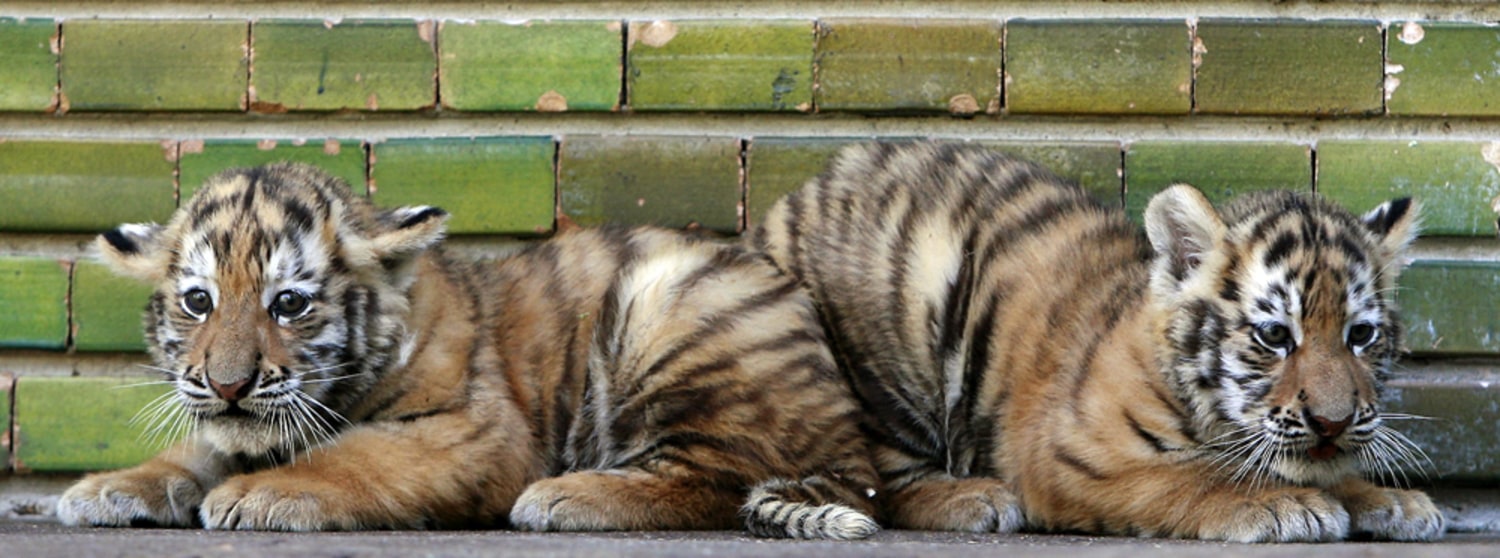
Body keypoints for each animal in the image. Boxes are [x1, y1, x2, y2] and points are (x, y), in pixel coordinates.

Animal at [56, 162, 879, 539]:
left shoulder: (472, 429)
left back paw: (567, 496)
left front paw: (260, 493)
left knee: (720, 476)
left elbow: (356, 455)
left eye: (288, 304)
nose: (229, 386)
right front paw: (109, 486)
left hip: (666, 306)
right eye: (199, 301)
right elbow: (194, 450)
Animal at [747, 141, 1445, 542]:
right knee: (880, 481)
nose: (1333, 422)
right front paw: (1284, 506)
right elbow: (1186, 478)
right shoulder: (1068, 458)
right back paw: (972, 497)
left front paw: (1391, 502)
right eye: (1275, 335)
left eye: (1360, 335)